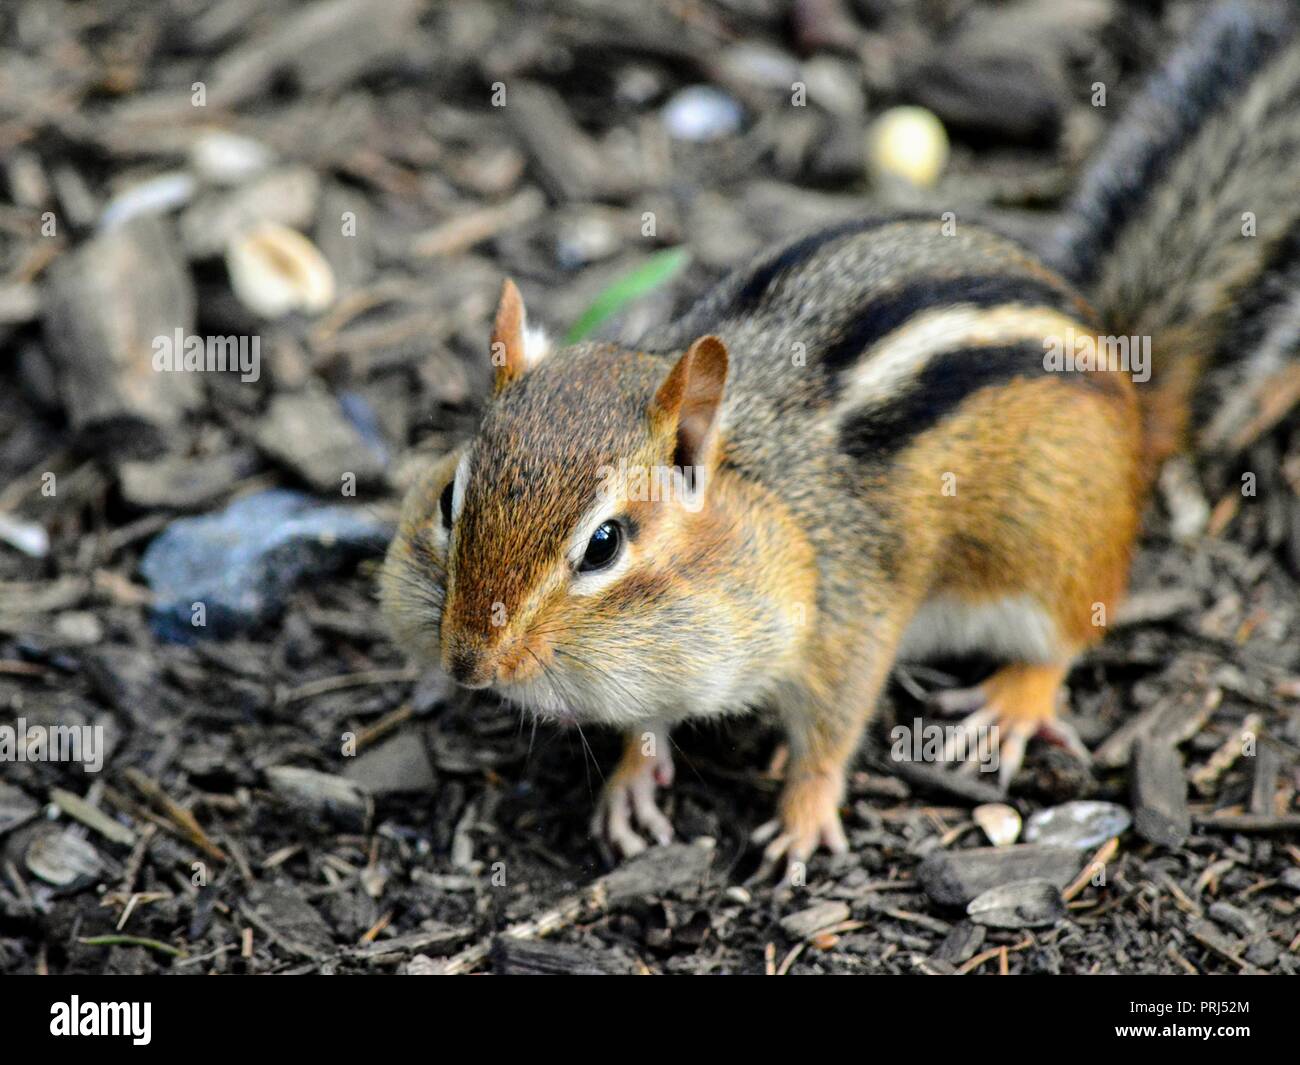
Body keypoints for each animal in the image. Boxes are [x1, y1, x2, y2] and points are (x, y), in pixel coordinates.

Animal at [381, 2, 1300, 879]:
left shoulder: (848, 612)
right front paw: (632, 777)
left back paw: (1012, 705)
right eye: (450, 499)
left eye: (604, 543)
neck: (761, 498)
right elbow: (647, 724)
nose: (468, 664)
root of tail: (1127, 376)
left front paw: (803, 813)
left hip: (1053, 548)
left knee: (1066, 638)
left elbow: (834, 723)